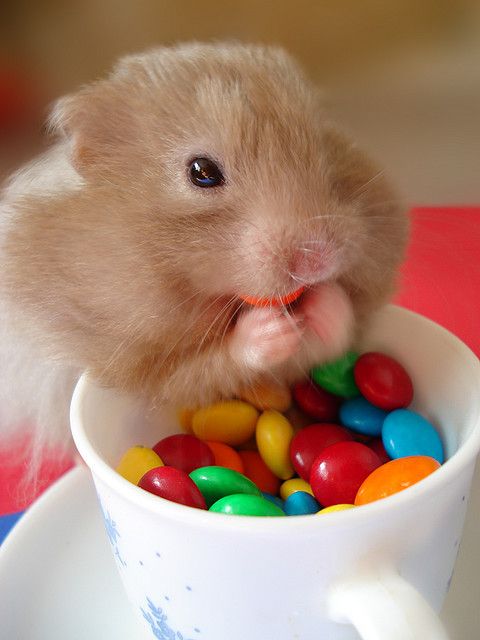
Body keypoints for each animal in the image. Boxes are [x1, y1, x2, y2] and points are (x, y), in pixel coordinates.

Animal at [0, 42, 408, 451]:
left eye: (325, 150)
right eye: (202, 172)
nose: (320, 262)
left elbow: (326, 338)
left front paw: (328, 302)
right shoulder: (146, 370)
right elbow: (205, 371)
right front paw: (268, 328)